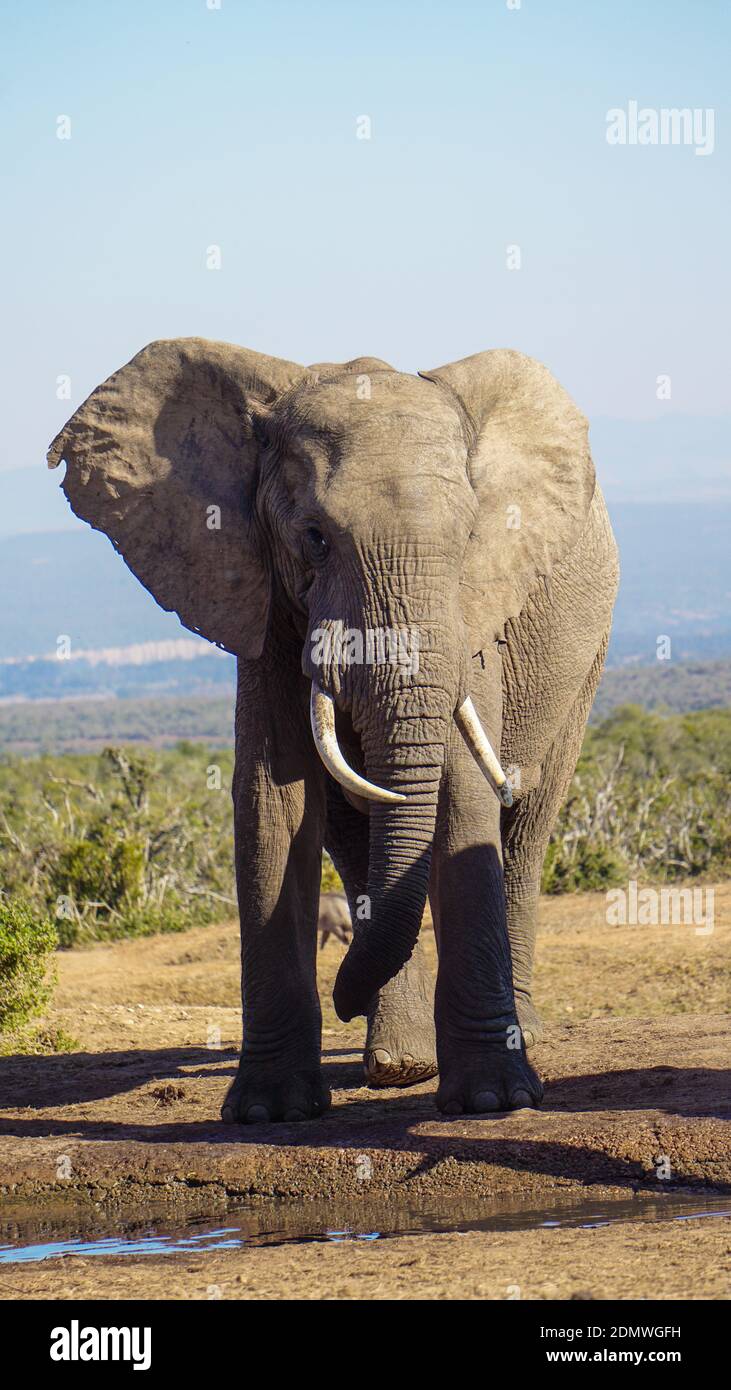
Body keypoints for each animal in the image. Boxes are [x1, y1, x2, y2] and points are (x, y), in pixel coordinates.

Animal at [48, 338, 619, 1122]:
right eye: (314, 538)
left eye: (471, 535)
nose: (344, 999)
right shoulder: (260, 599)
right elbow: (273, 796)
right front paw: (269, 1111)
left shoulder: (475, 616)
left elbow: (462, 788)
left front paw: (491, 1101)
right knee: (354, 840)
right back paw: (399, 1064)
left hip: (583, 665)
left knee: (526, 826)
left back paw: (512, 1033)